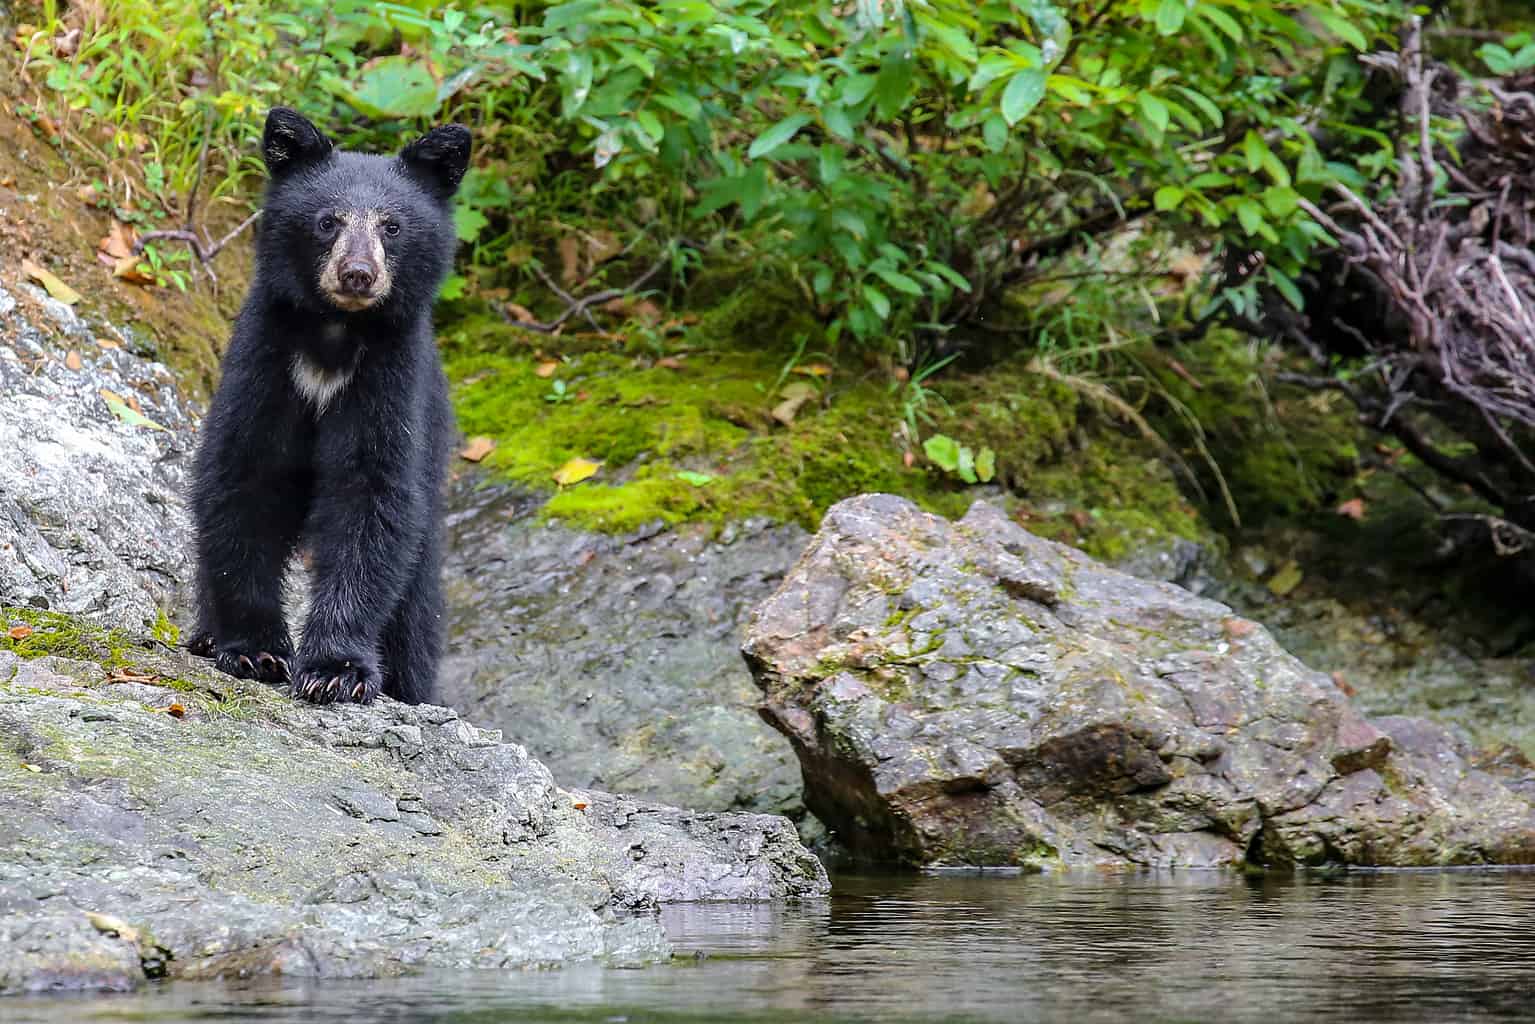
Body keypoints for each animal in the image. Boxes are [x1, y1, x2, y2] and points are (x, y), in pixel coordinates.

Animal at [186, 107, 469, 705]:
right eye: (327, 222)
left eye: (392, 226)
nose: (358, 274)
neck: (334, 335)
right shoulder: (265, 361)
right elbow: (243, 478)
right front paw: (254, 650)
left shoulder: (390, 381)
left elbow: (371, 497)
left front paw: (336, 668)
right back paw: (205, 633)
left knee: (416, 609)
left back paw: (407, 684)